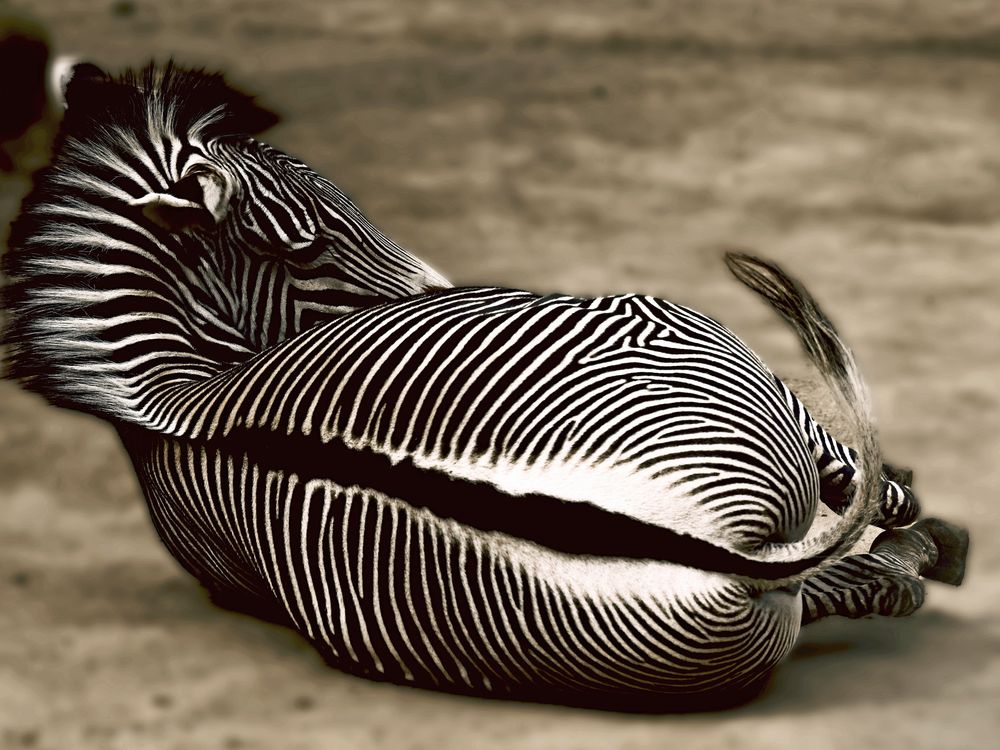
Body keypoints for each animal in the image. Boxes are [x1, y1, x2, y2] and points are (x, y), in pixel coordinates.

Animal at [1, 62, 967, 710]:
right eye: (306, 243)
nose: (439, 291)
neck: (166, 390)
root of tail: (728, 544)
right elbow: (865, 492)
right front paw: (918, 521)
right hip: (703, 376)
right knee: (855, 557)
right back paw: (931, 550)